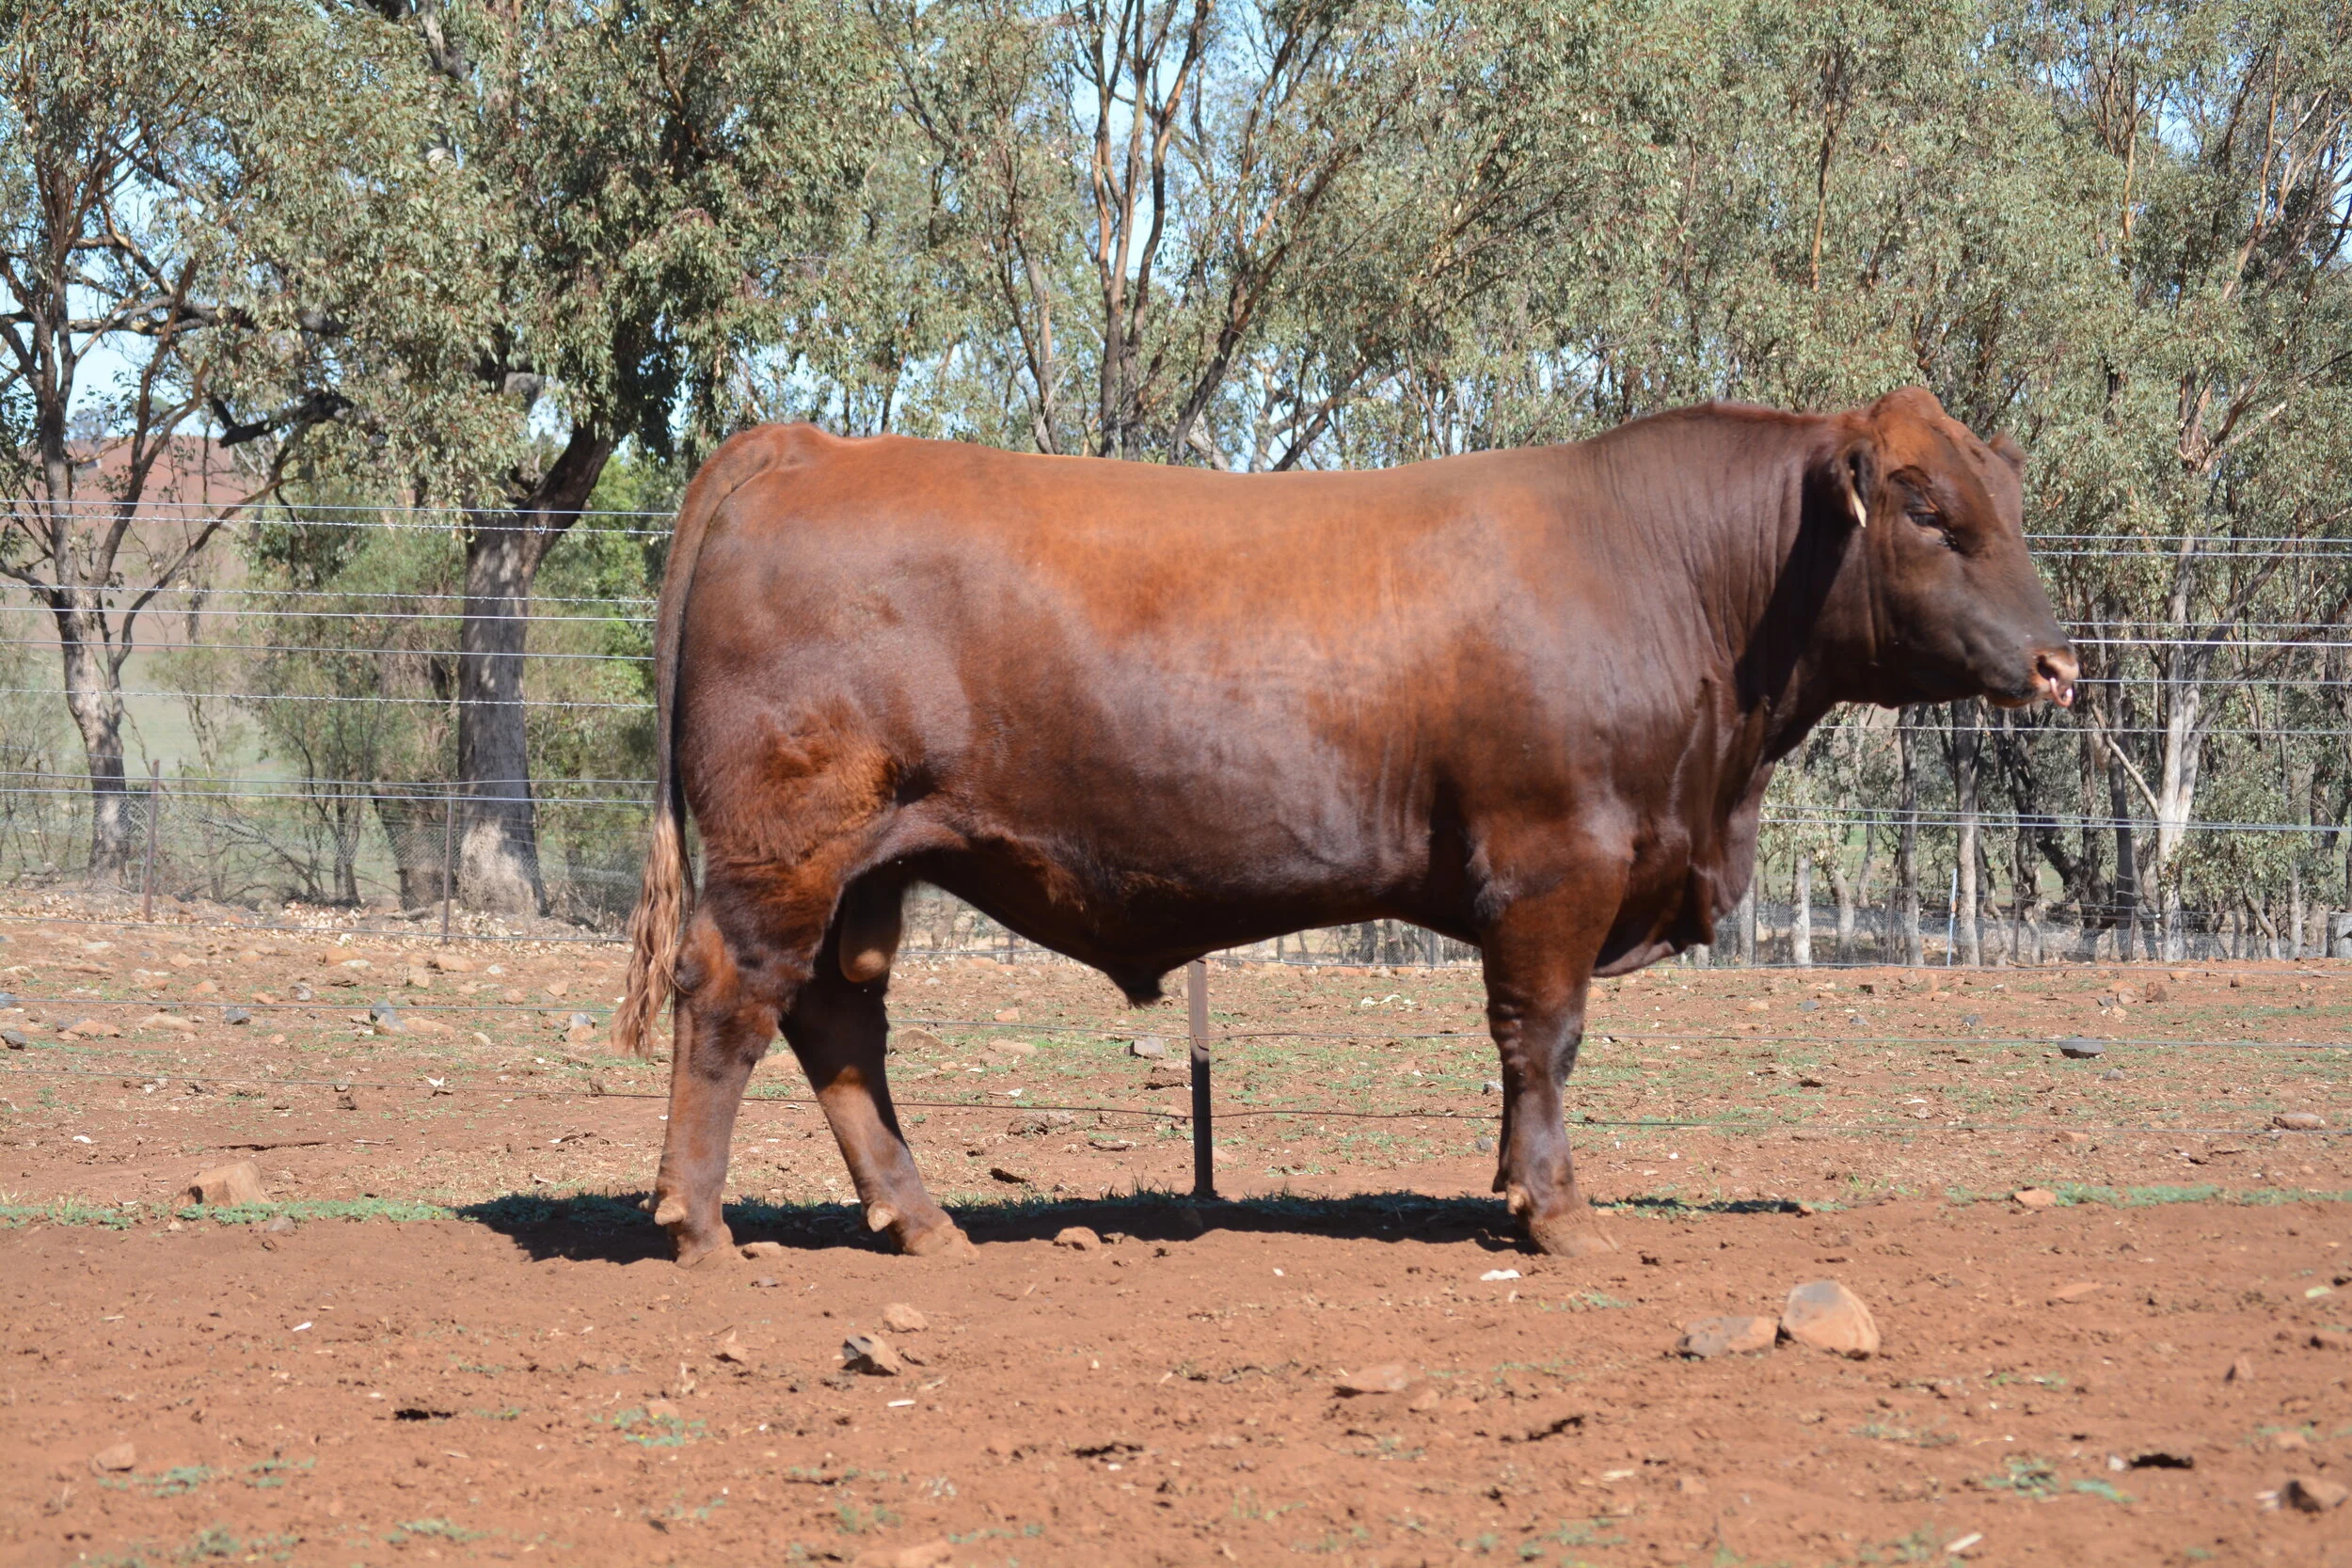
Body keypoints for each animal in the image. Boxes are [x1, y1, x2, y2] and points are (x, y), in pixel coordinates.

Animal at [611, 387, 2077, 1266]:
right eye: (1929, 510)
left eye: (2009, 503)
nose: (2058, 664)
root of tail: (804, 444)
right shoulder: (1557, 861)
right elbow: (1543, 1036)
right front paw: (1556, 1209)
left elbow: (1524, 1051)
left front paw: (1514, 1187)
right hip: (785, 848)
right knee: (730, 995)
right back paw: (698, 1223)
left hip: (874, 863)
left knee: (838, 1019)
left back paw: (920, 1220)